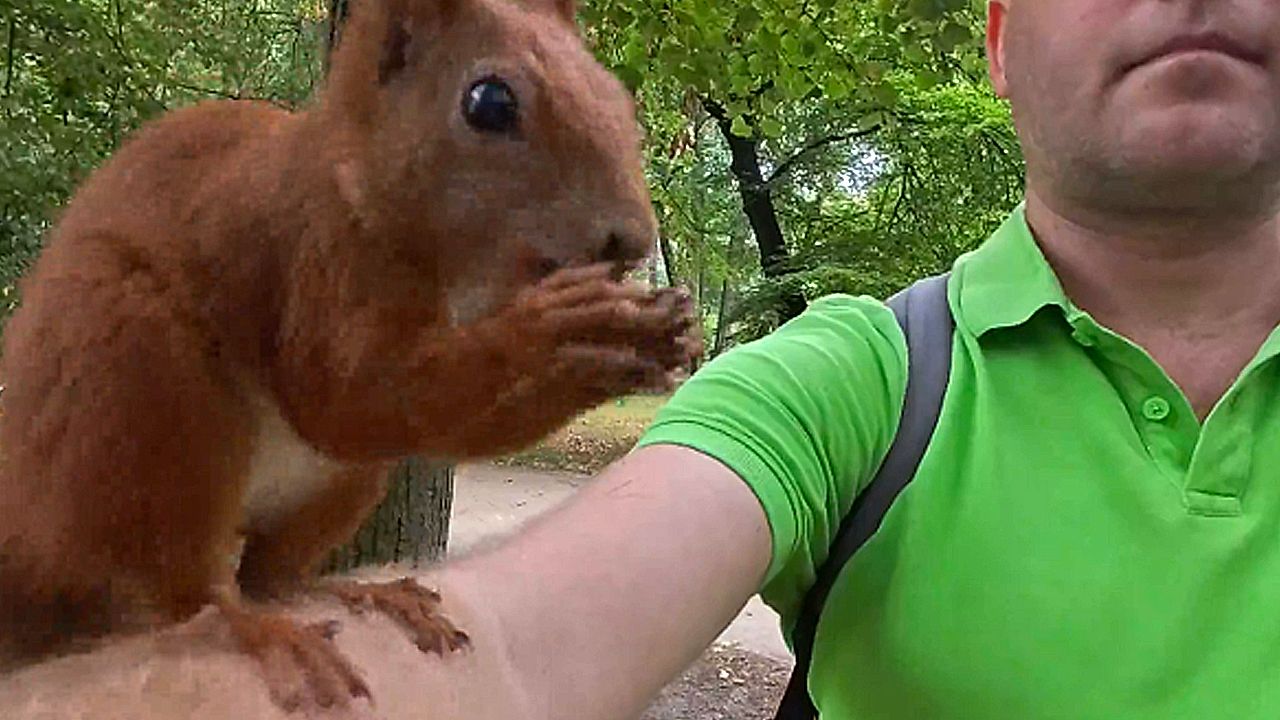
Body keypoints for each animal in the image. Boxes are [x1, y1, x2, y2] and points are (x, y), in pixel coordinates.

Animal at [0, 0, 699, 711]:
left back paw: (364, 593)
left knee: (273, 575)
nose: (631, 239)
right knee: (190, 587)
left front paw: (632, 348)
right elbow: (336, 400)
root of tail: (22, 517)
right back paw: (257, 632)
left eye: (616, 94)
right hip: (140, 385)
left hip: (339, 484)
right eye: (489, 103)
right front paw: (558, 324)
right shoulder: (313, 251)